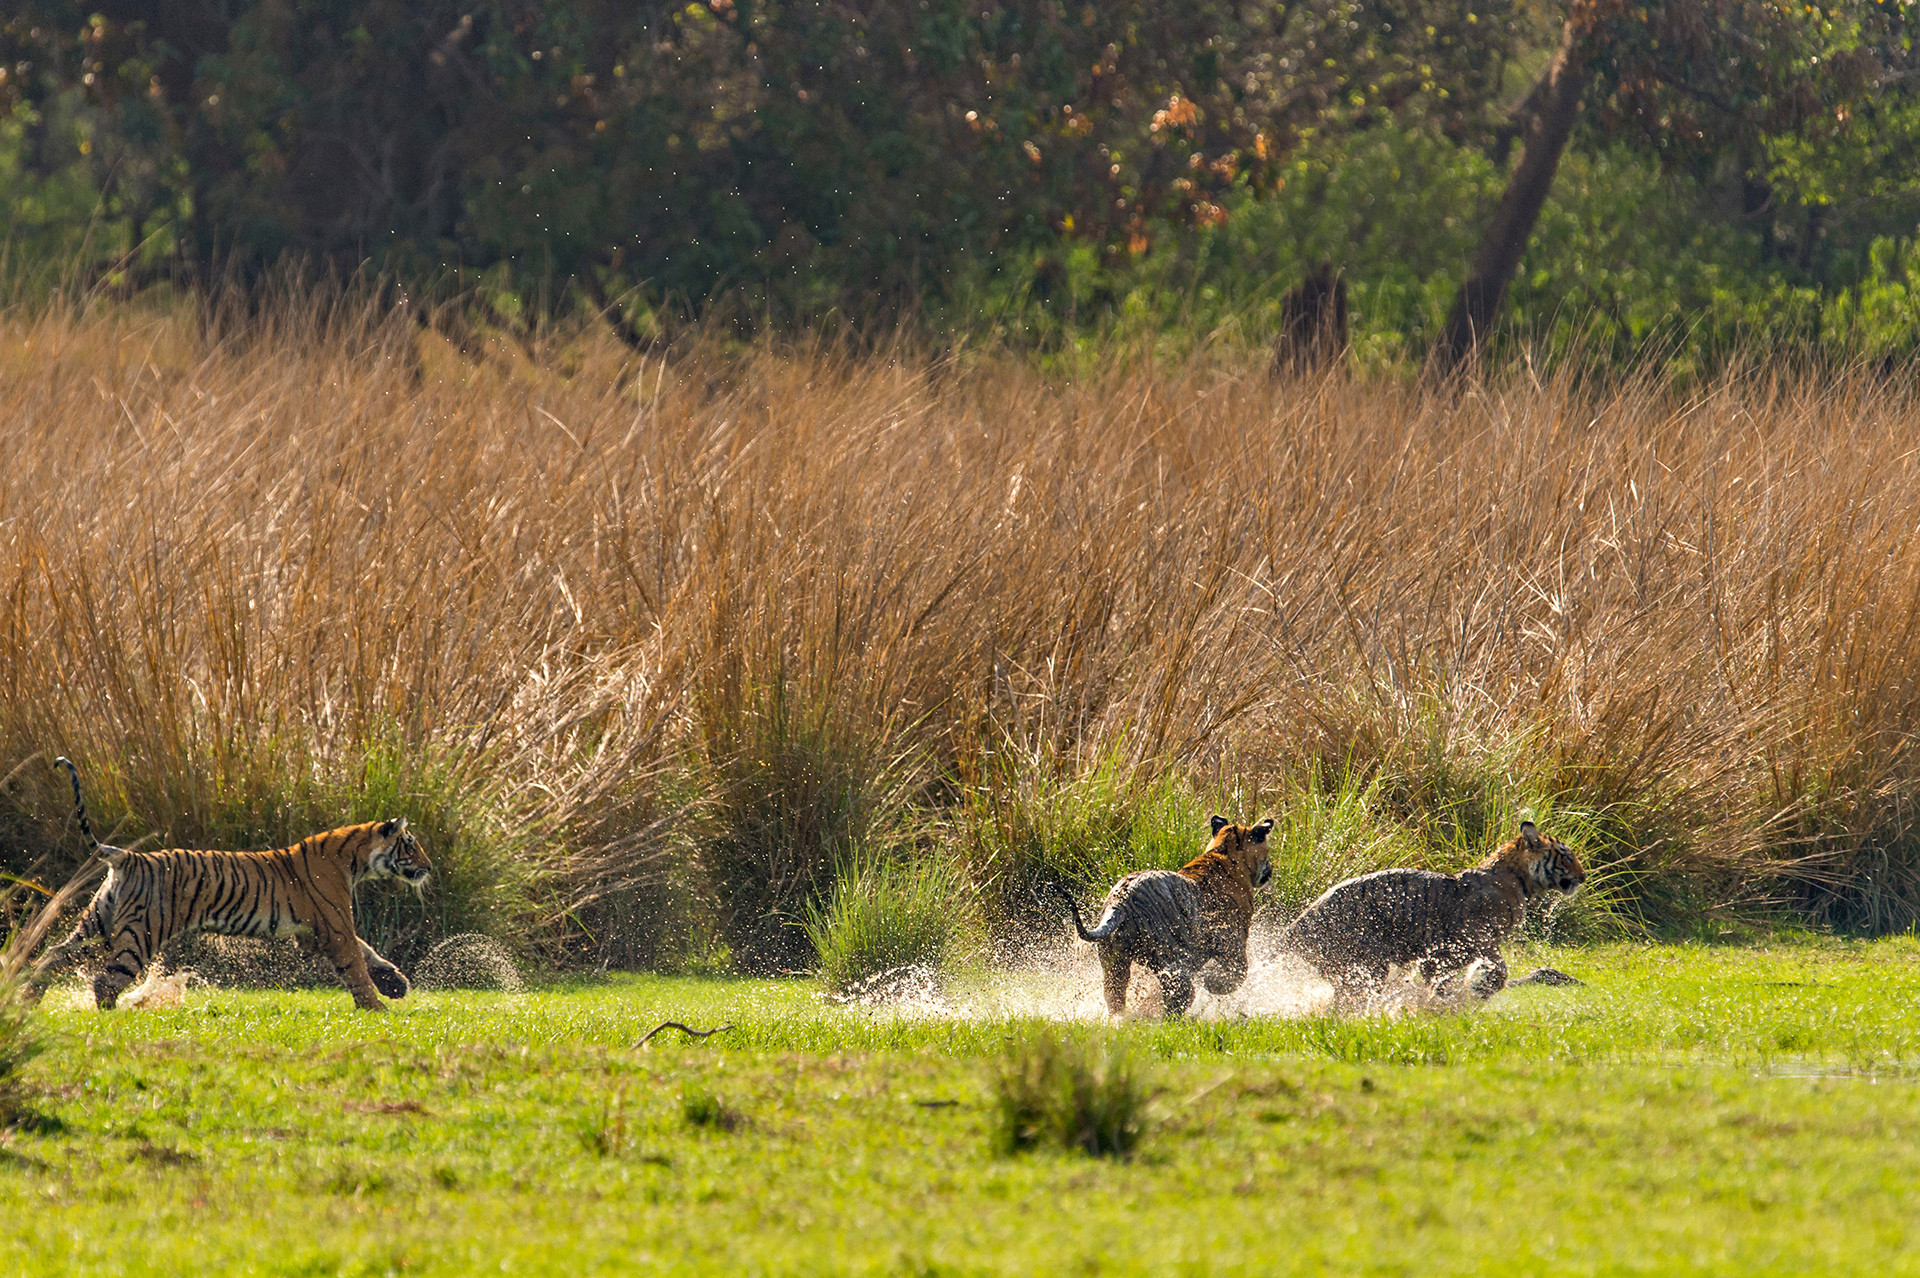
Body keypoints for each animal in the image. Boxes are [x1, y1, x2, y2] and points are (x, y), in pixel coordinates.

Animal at [33, 757, 431, 1011]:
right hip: (141, 930)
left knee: (52, 955)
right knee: (108, 976)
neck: (354, 859)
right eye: (410, 844)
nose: (428, 867)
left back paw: (28, 998)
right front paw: (377, 1008)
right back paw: (111, 1015)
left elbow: (368, 953)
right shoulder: (335, 926)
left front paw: (396, 984)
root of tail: (128, 857)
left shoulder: (318, 929)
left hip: (98, 923)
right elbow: (356, 965)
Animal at [1055, 815, 1274, 1018]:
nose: (1270, 869)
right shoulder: (1233, 942)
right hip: (1173, 959)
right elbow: (1239, 972)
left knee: (1115, 995)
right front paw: (1213, 983)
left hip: (1114, 961)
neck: (1223, 852)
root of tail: (1121, 901)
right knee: (1177, 997)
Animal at [1275, 820, 1585, 1011]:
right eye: (1566, 856)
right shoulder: (1476, 940)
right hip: (1366, 964)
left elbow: (1443, 980)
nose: (1583, 876)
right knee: (1346, 1003)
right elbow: (1500, 972)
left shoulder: (1447, 953)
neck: (1520, 880)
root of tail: (1294, 926)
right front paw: (1472, 995)